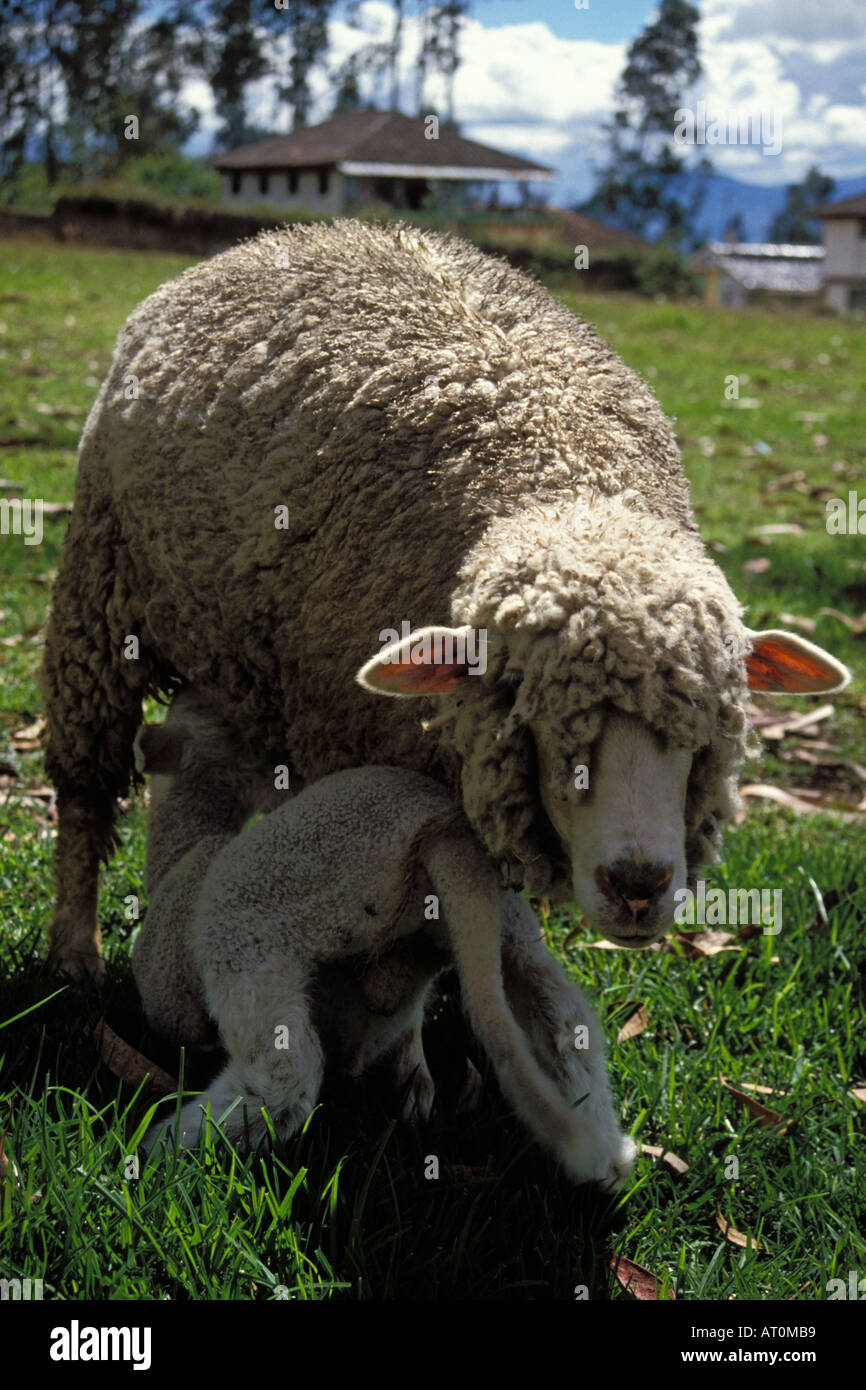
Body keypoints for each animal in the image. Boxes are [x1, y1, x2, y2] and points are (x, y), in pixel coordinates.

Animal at [42, 218, 849, 975]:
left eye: (698, 729)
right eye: (536, 722)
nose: (638, 885)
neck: (562, 480)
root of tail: (287, 235)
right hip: (98, 600)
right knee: (84, 787)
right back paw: (76, 952)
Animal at [132, 688, 636, 1190]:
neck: (182, 847)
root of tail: (441, 830)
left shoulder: (168, 983)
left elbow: (184, 1031)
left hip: (254, 920)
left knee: (286, 1076)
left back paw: (163, 1146)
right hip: (509, 928)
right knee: (564, 1021)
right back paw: (609, 1156)